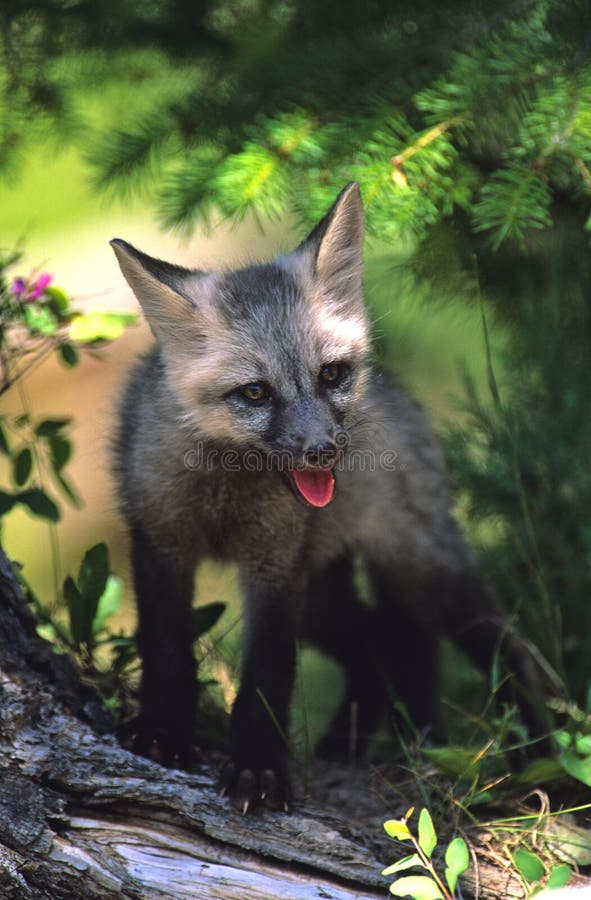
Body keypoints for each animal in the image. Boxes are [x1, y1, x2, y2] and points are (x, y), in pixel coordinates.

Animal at [111, 183, 540, 813]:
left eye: (332, 374)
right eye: (255, 393)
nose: (322, 450)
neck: (226, 497)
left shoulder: (275, 569)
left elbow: (267, 678)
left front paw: (258, 767)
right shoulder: (161, 543)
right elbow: (166, 650)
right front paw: (163, 730)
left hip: (416, 571)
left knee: (499, 646)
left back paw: (538, 754)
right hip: (323, 601)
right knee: (378, 651)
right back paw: (365, 746)